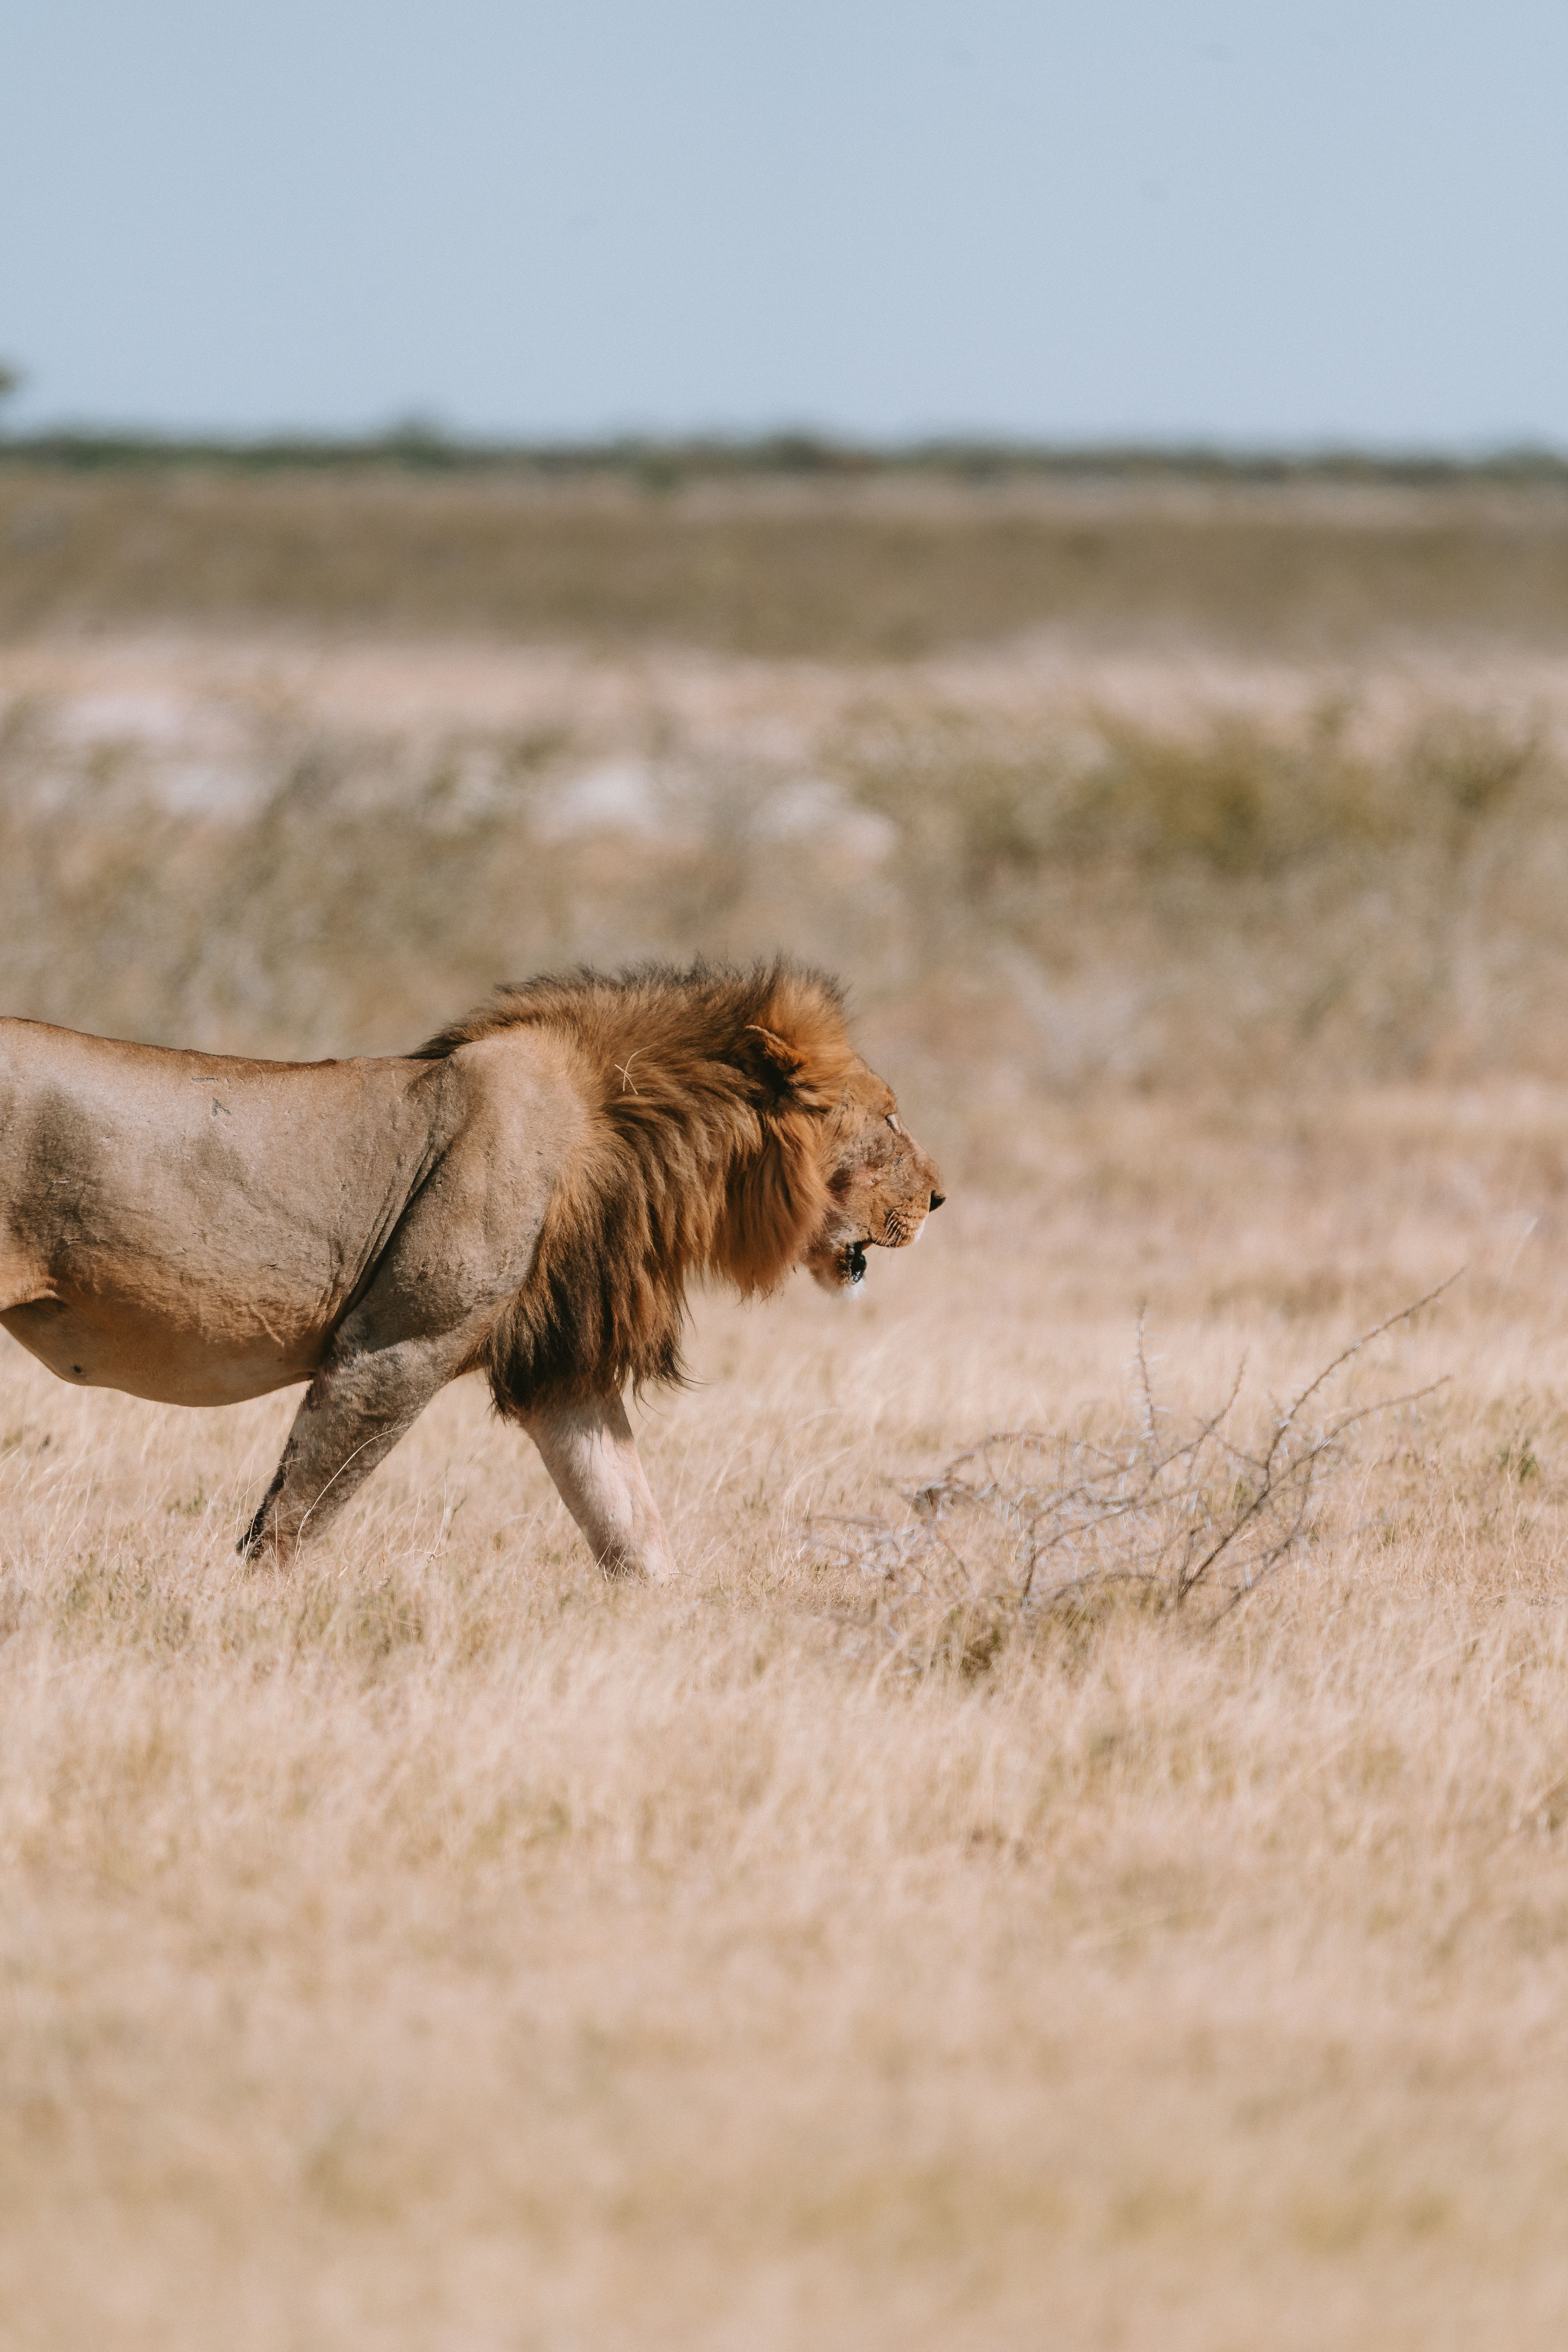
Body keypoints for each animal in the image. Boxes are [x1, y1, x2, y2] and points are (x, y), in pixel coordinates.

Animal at [0, 960, 944, 1576]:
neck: (632, 1136)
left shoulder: (564, 1370)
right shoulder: (396, 1345)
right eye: (892, 1118)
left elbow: (631, 1525)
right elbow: (297, 1515)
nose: (939, 1199)